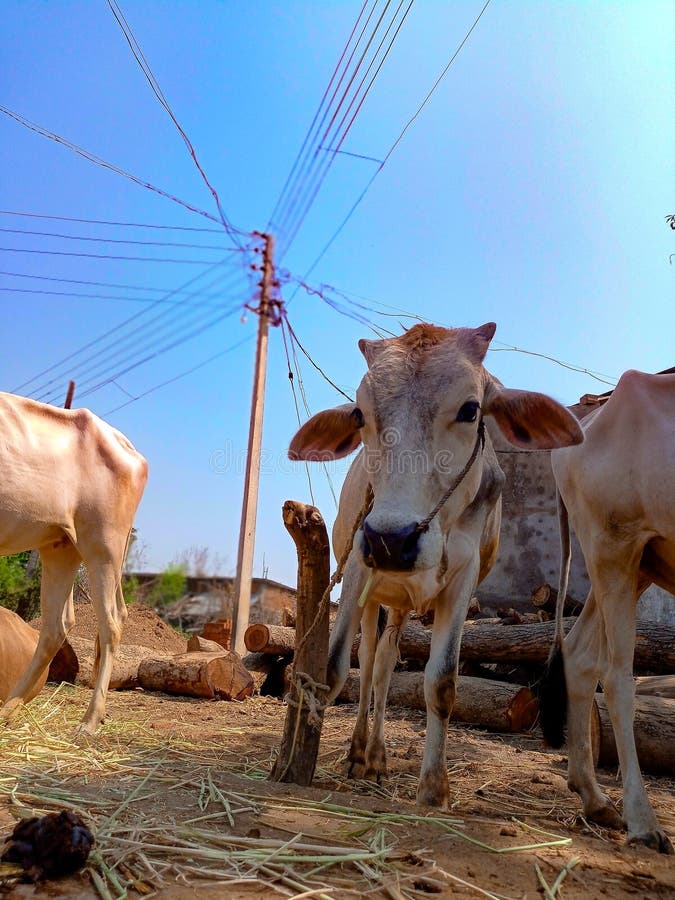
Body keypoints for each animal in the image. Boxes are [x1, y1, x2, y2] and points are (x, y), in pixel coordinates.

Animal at [0, 391, 148, 733]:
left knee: (111, 623)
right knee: (57, 626)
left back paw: (90, 720)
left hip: (103, 545)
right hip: (60, 545)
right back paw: (8, 710)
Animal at [289, 322, 582, 806]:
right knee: (368, 662)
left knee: (386, 664)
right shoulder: (358, 568)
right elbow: (334, 670)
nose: (392, 540)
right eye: (359, 415)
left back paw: (378, 757)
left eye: (470, 409)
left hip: (401, 605)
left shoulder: (463, 581)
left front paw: (433, 789)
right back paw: (359, 753)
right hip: (376, 596)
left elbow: (441, 682)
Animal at [541, 369, 675, 853]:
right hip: (615, 545)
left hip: (636, 564)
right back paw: (642, 820)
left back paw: (596, 800)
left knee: (579, 655)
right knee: (617, 677)